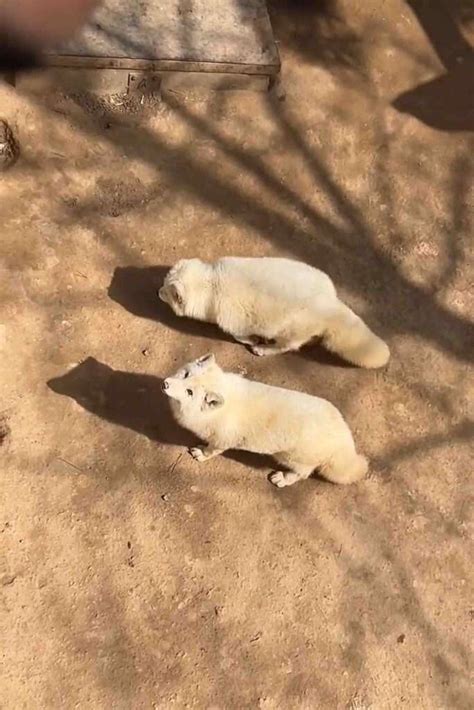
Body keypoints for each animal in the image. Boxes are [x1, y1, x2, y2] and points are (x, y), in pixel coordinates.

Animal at [159, 257, 389, 368]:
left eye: (166, 293)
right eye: (163, 285)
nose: (157, 291)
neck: (211, 284)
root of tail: (329, 303)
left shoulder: (234, 322)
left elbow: (239, 335)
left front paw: (252, 341)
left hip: (290, 332)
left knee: (288, 347)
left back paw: (264, 349)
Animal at [162, 354, 368, 488]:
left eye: (190, 392)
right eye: (186, 374)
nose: (165, 384)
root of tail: (343, 436)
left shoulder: (221, 441)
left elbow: (211, 451)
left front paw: (201, 454)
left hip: (290, 458)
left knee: (303, 474)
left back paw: (283, 479)